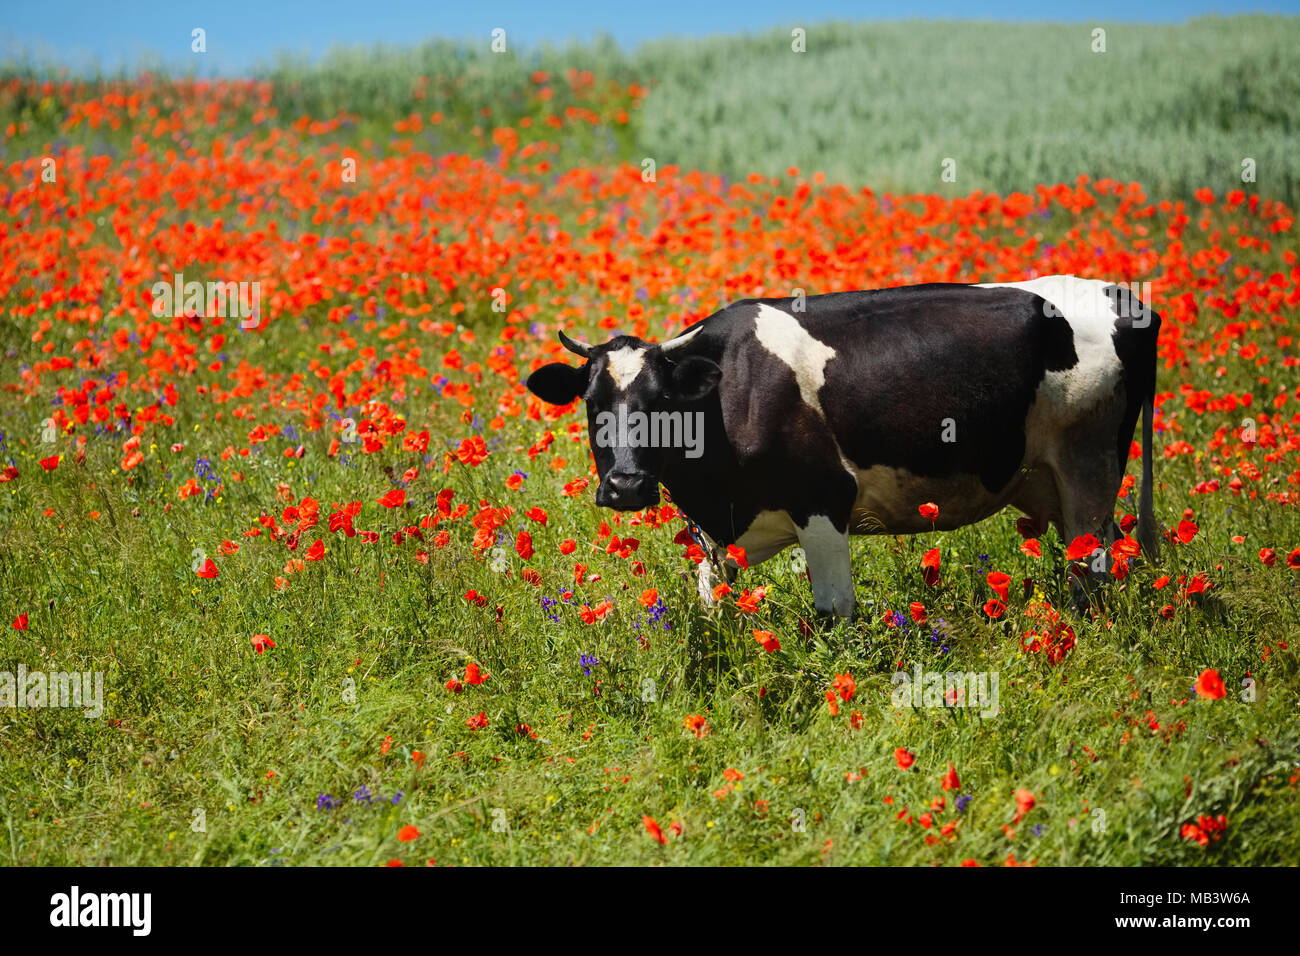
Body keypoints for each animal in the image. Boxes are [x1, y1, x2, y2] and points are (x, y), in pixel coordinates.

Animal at [525, 275, 1160, 618]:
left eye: (661, 401)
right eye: (592, 403)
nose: (626, 485)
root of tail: (1122, 296)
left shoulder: (824, 499)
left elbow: (833, 610)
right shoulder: (726, 531)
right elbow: (714, 595)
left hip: (1088, 463)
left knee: (1092, 569)